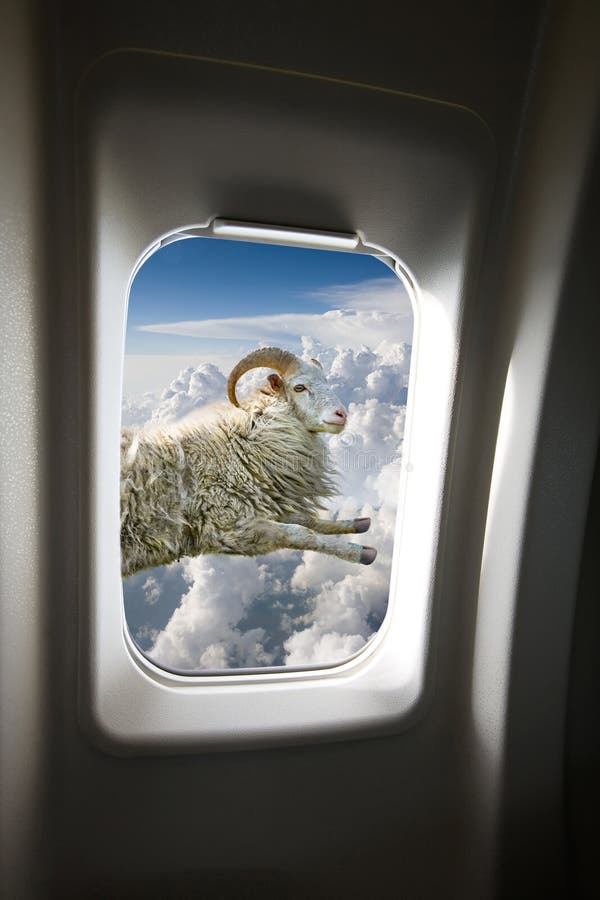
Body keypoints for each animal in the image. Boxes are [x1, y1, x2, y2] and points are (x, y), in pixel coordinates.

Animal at [120, 347, 377, 577]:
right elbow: (301, 533)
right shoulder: (227, 528)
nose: (341, 415)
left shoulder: (265, 505)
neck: (239, 449)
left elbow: (306, 519)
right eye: (299, 387)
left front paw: (357, 523)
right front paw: (360, 552)